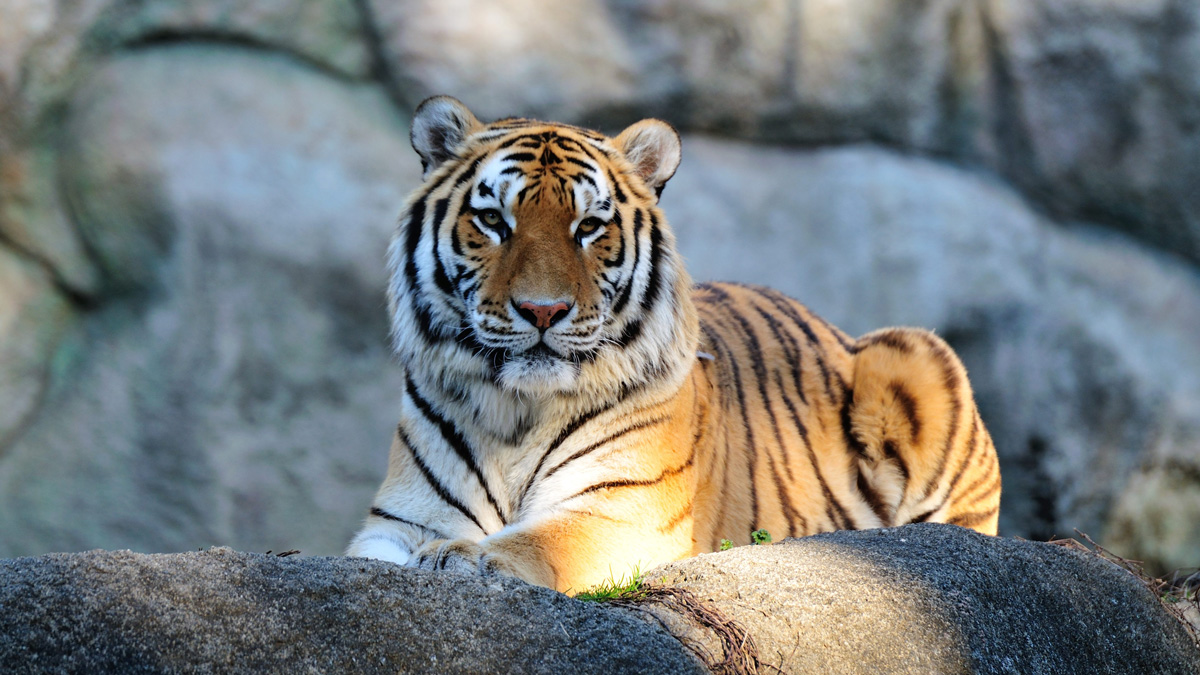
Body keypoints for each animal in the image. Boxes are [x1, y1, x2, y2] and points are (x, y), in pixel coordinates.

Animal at [347, 96, 1001, 594]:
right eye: (493, 222)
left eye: (589, 227)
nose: (543, 311)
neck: (518, 412)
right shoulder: (401, 519)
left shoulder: (621, 510)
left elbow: (538, 540)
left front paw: (465, 558)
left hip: (917, 354)